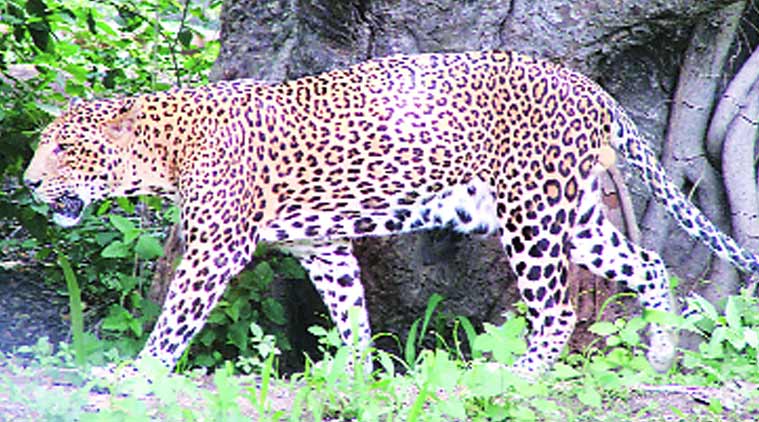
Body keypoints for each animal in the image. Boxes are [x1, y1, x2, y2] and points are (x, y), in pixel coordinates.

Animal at [24, 50, 759, 376]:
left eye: (62, 145)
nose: (28, 183)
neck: (166, 149)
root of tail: (588, 84)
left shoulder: (216, 249)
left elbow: (176, 319)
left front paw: (138, 374)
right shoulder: (322, 248)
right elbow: (350, 315)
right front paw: (353, 379)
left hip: (529, 215)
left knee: (555, 309)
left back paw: (518, 376)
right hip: (572, 218)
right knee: (650, 263)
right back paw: (661, 353)